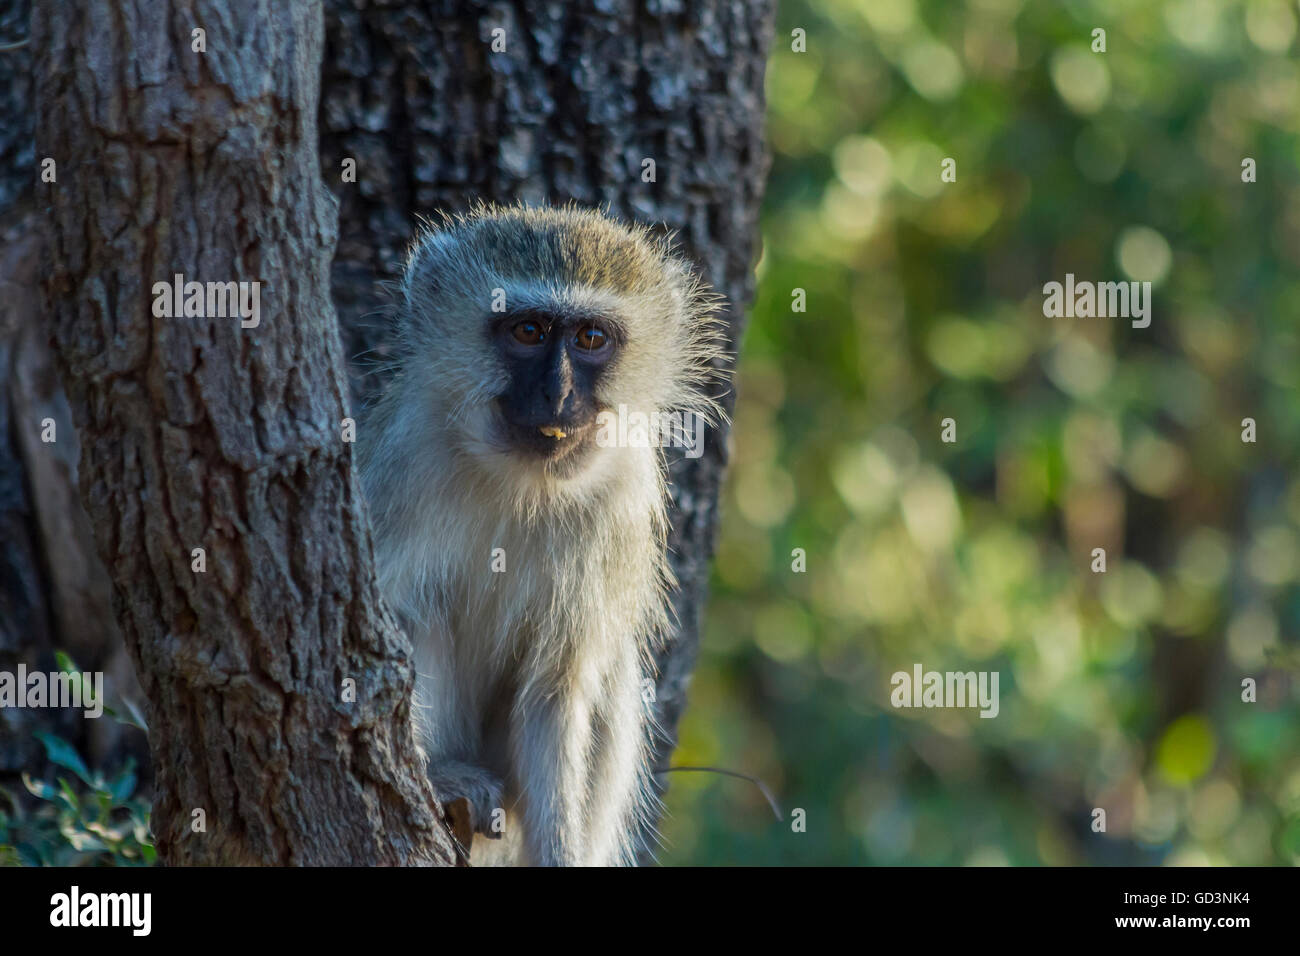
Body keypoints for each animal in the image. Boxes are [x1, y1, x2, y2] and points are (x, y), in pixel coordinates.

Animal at [356, 203, 725, 866]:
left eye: (590, 339)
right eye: (527, 331)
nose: (558, 393)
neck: (523, 481)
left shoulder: (618, 501)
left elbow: (555, 688)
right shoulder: (398, 461)